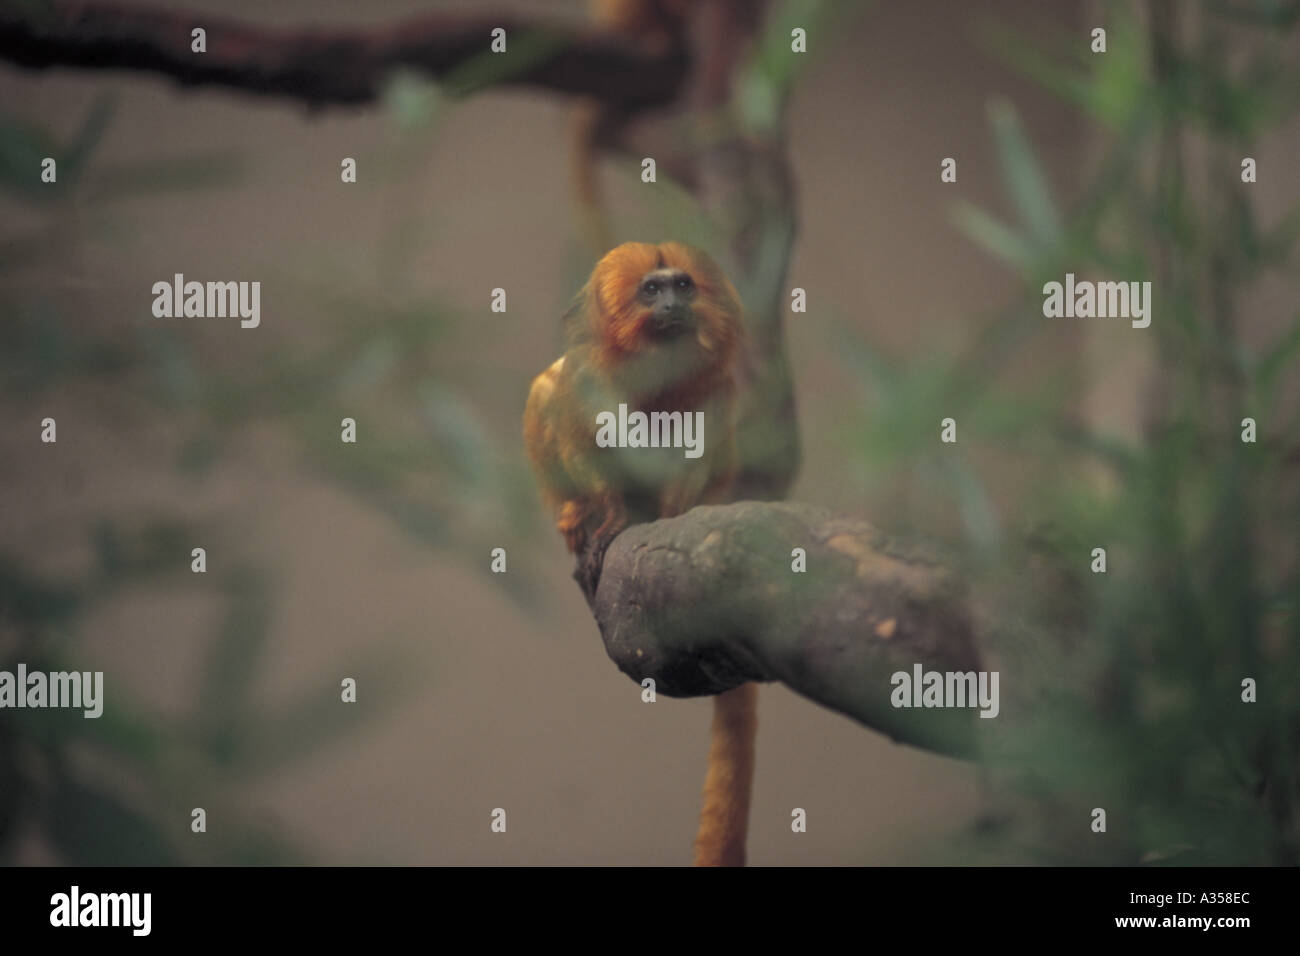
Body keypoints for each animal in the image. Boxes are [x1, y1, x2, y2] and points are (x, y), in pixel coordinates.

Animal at [523, 240, 757, 866]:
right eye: (652, 291)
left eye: (683, 285)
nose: (674, 305)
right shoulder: (588, 379)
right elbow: (578, 421)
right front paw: (605, 519)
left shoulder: (713, 386)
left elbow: (699, 432)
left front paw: (668, 515)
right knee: (545, 391)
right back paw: (579, 521)